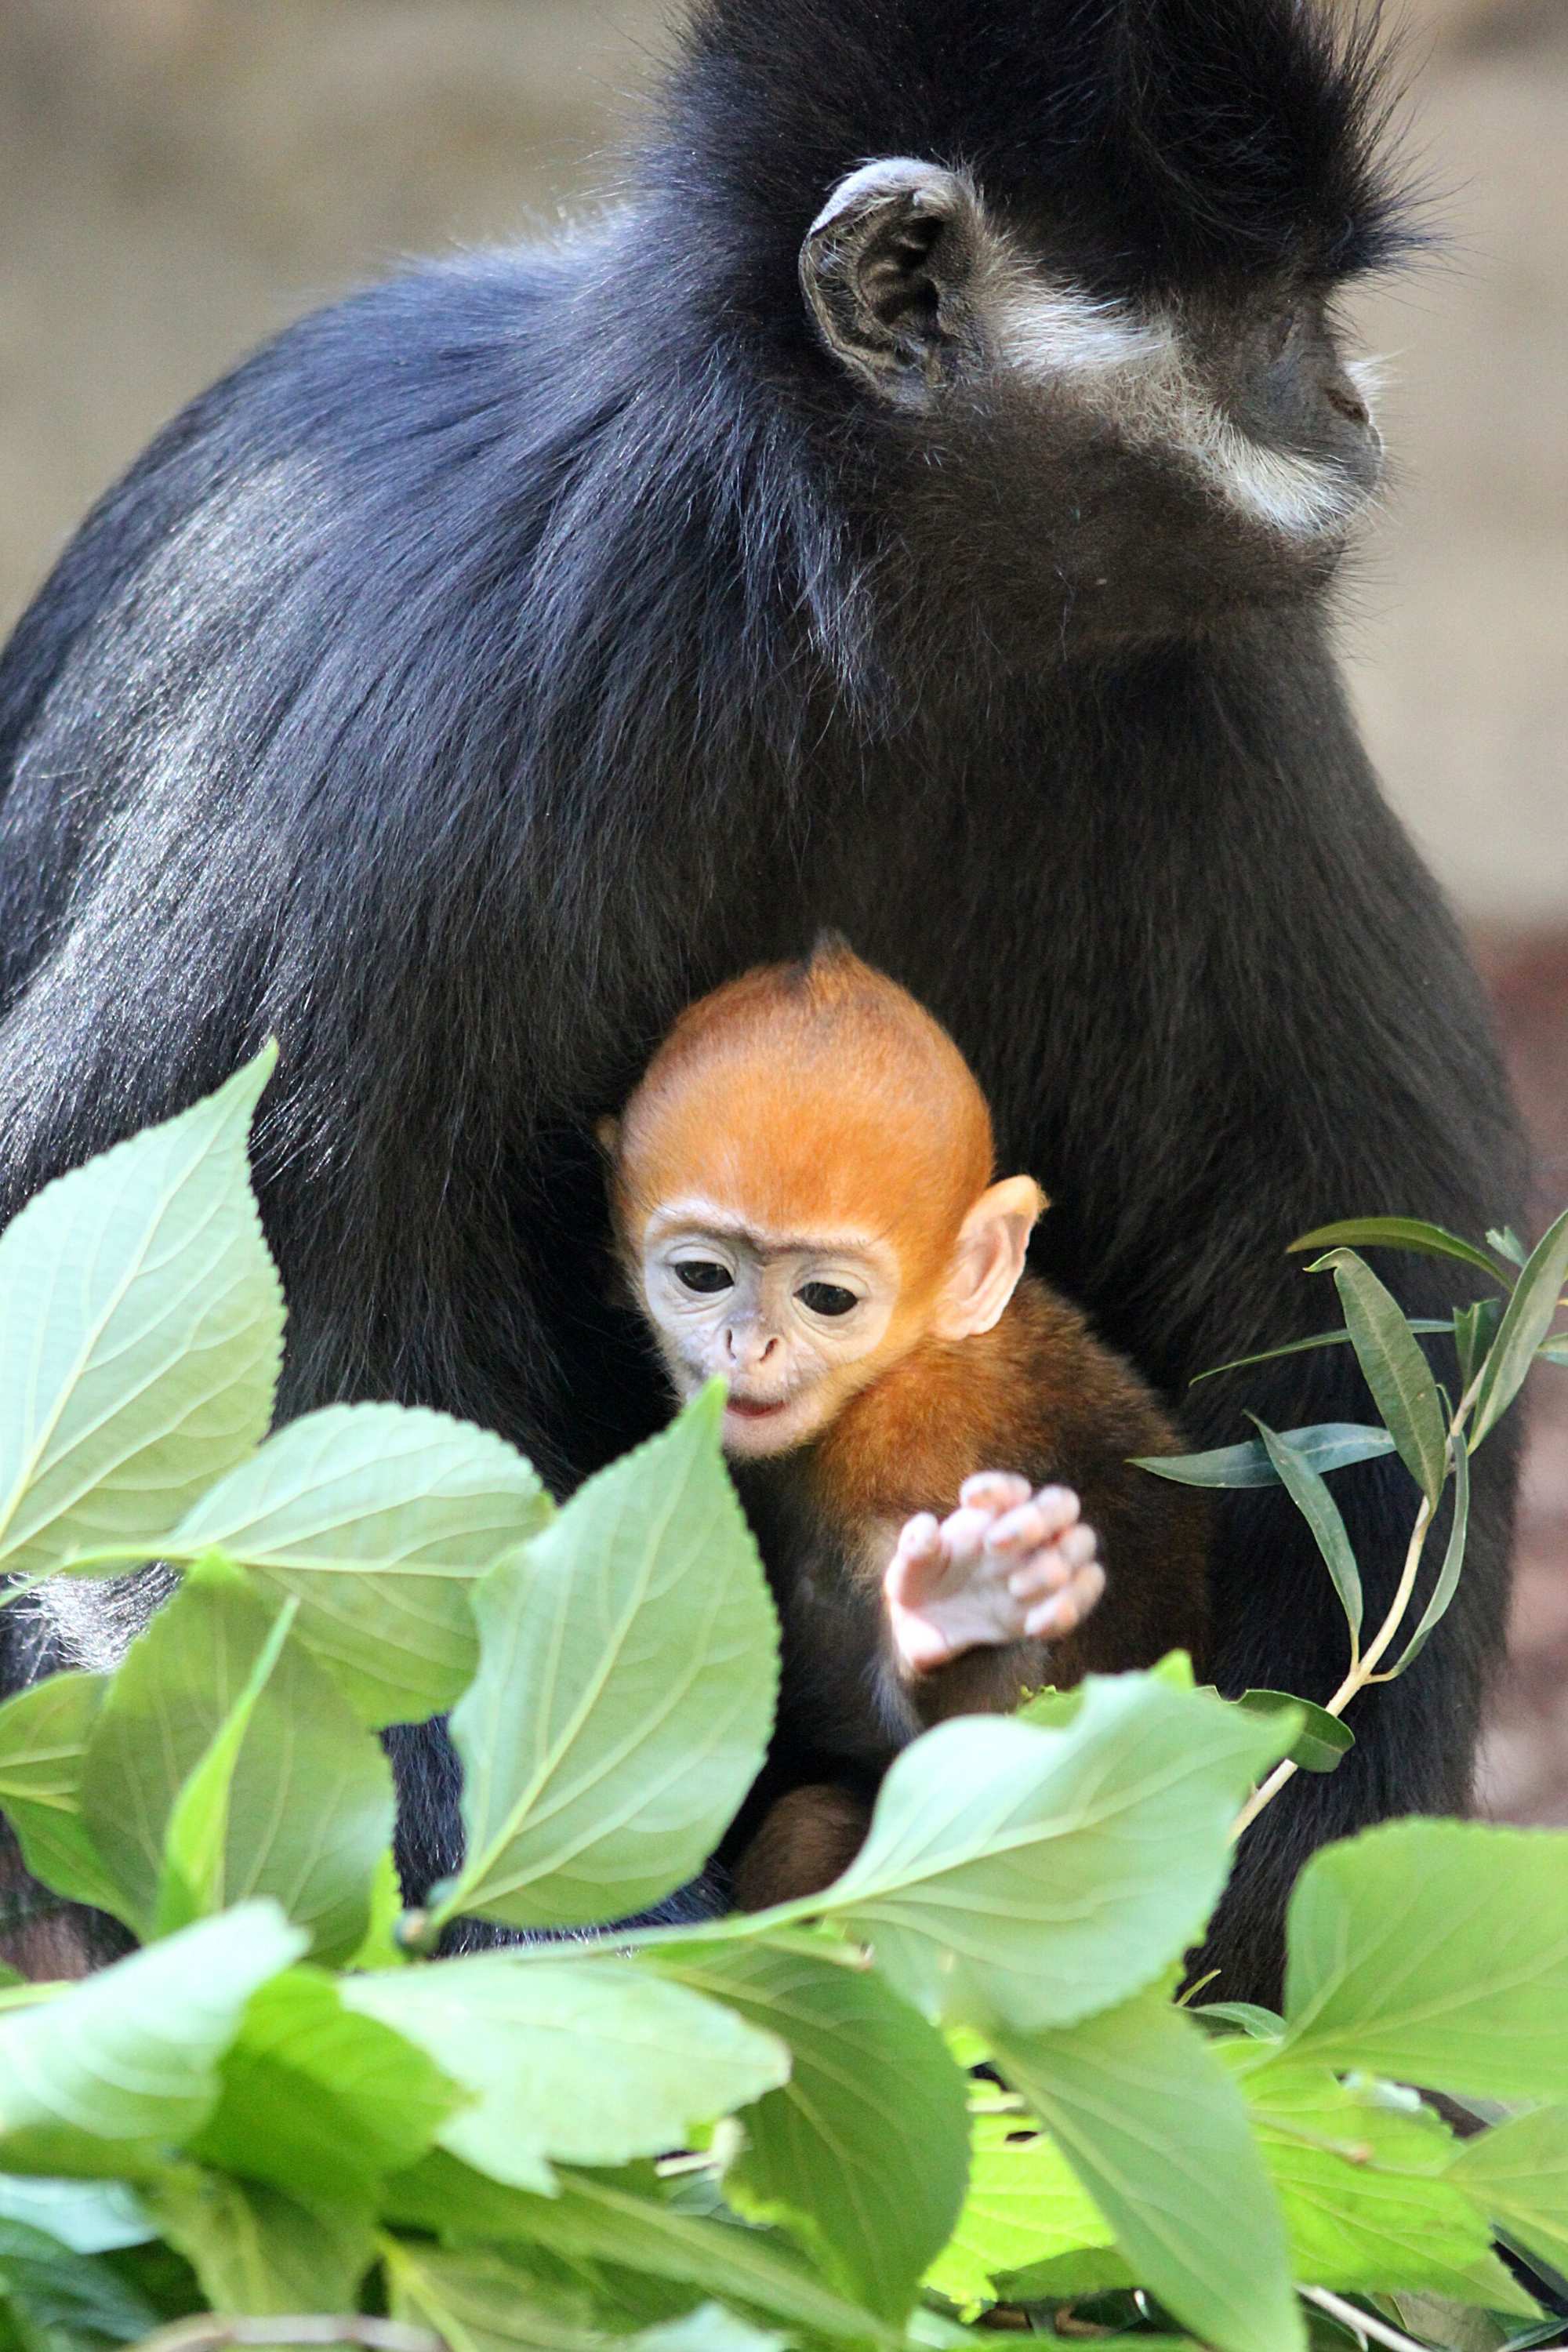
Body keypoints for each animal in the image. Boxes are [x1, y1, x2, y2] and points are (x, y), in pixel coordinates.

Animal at [602, 942, 1211, 1905]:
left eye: (826, 1298)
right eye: (703, 1276)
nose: (749, 1344)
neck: (895, 1368)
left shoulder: (913, 1447)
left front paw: (969, 1618)